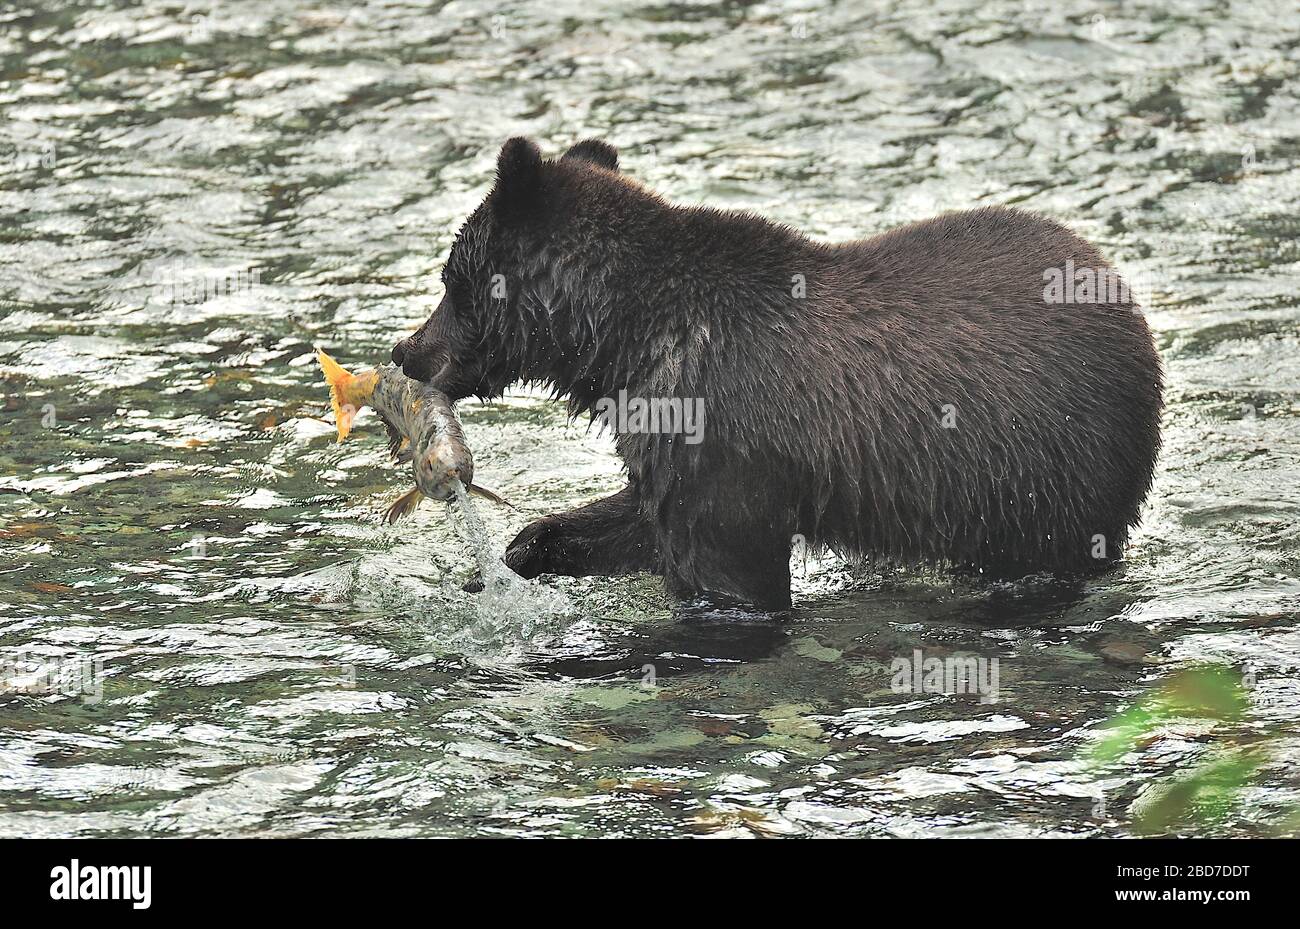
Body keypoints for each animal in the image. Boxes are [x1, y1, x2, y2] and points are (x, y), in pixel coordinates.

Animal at [391, 137, 1163, 612]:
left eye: (451, 281)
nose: (405, 350)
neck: (623, 339)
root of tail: (1119, 289)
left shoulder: (721, 430)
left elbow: (728, 572)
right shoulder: (668, 436)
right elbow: (638, 519)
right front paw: (513, 556)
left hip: (1047, 475)